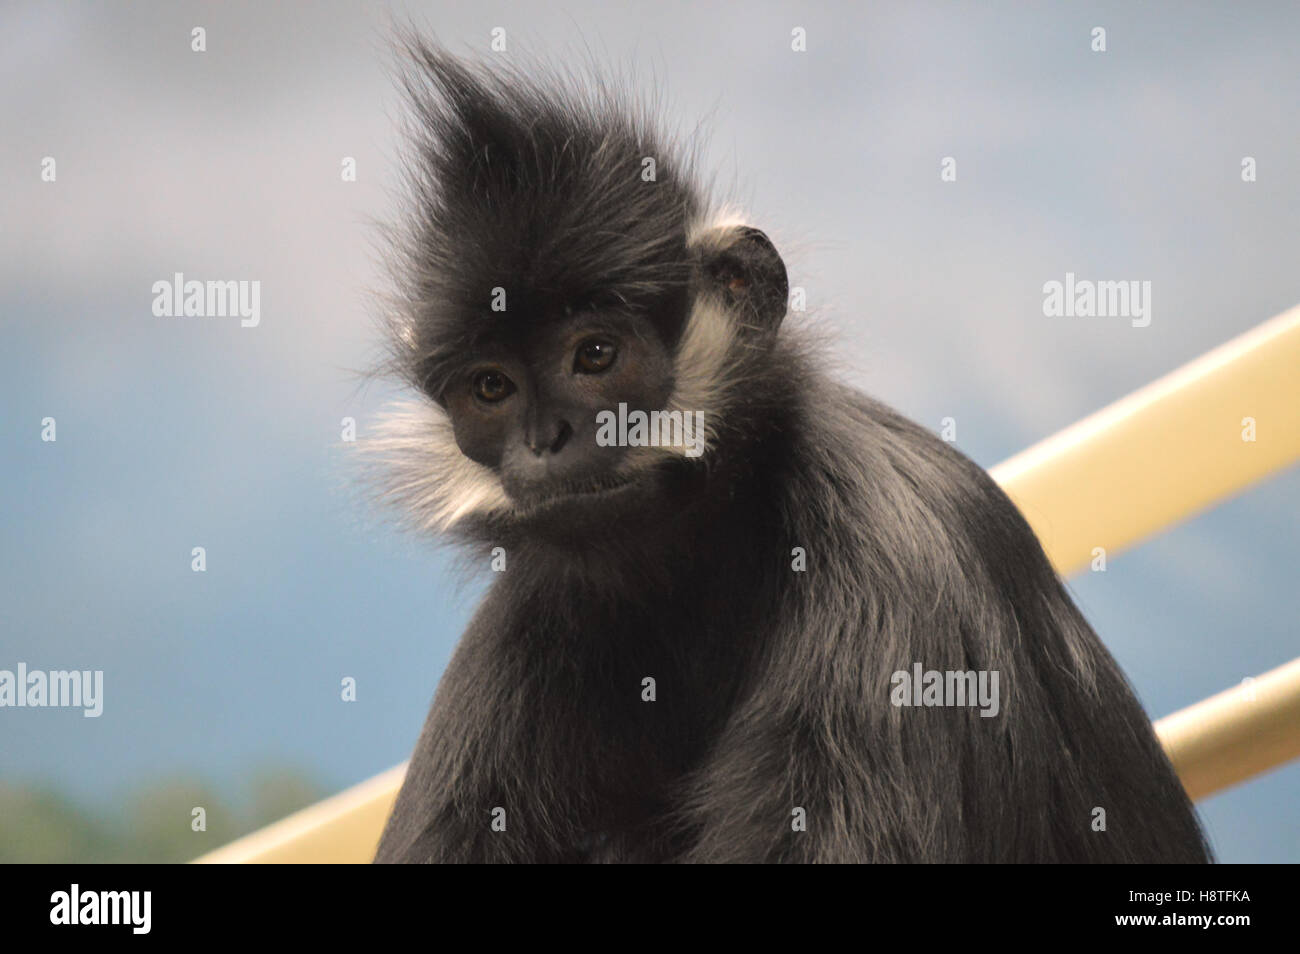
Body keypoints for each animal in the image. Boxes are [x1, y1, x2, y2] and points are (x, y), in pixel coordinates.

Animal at [368, 38, 1213, 863]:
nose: (547, 439)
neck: (709, 556)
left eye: (596, 354)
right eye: (491, 389)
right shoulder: (530, 616)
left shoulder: (886, 578)